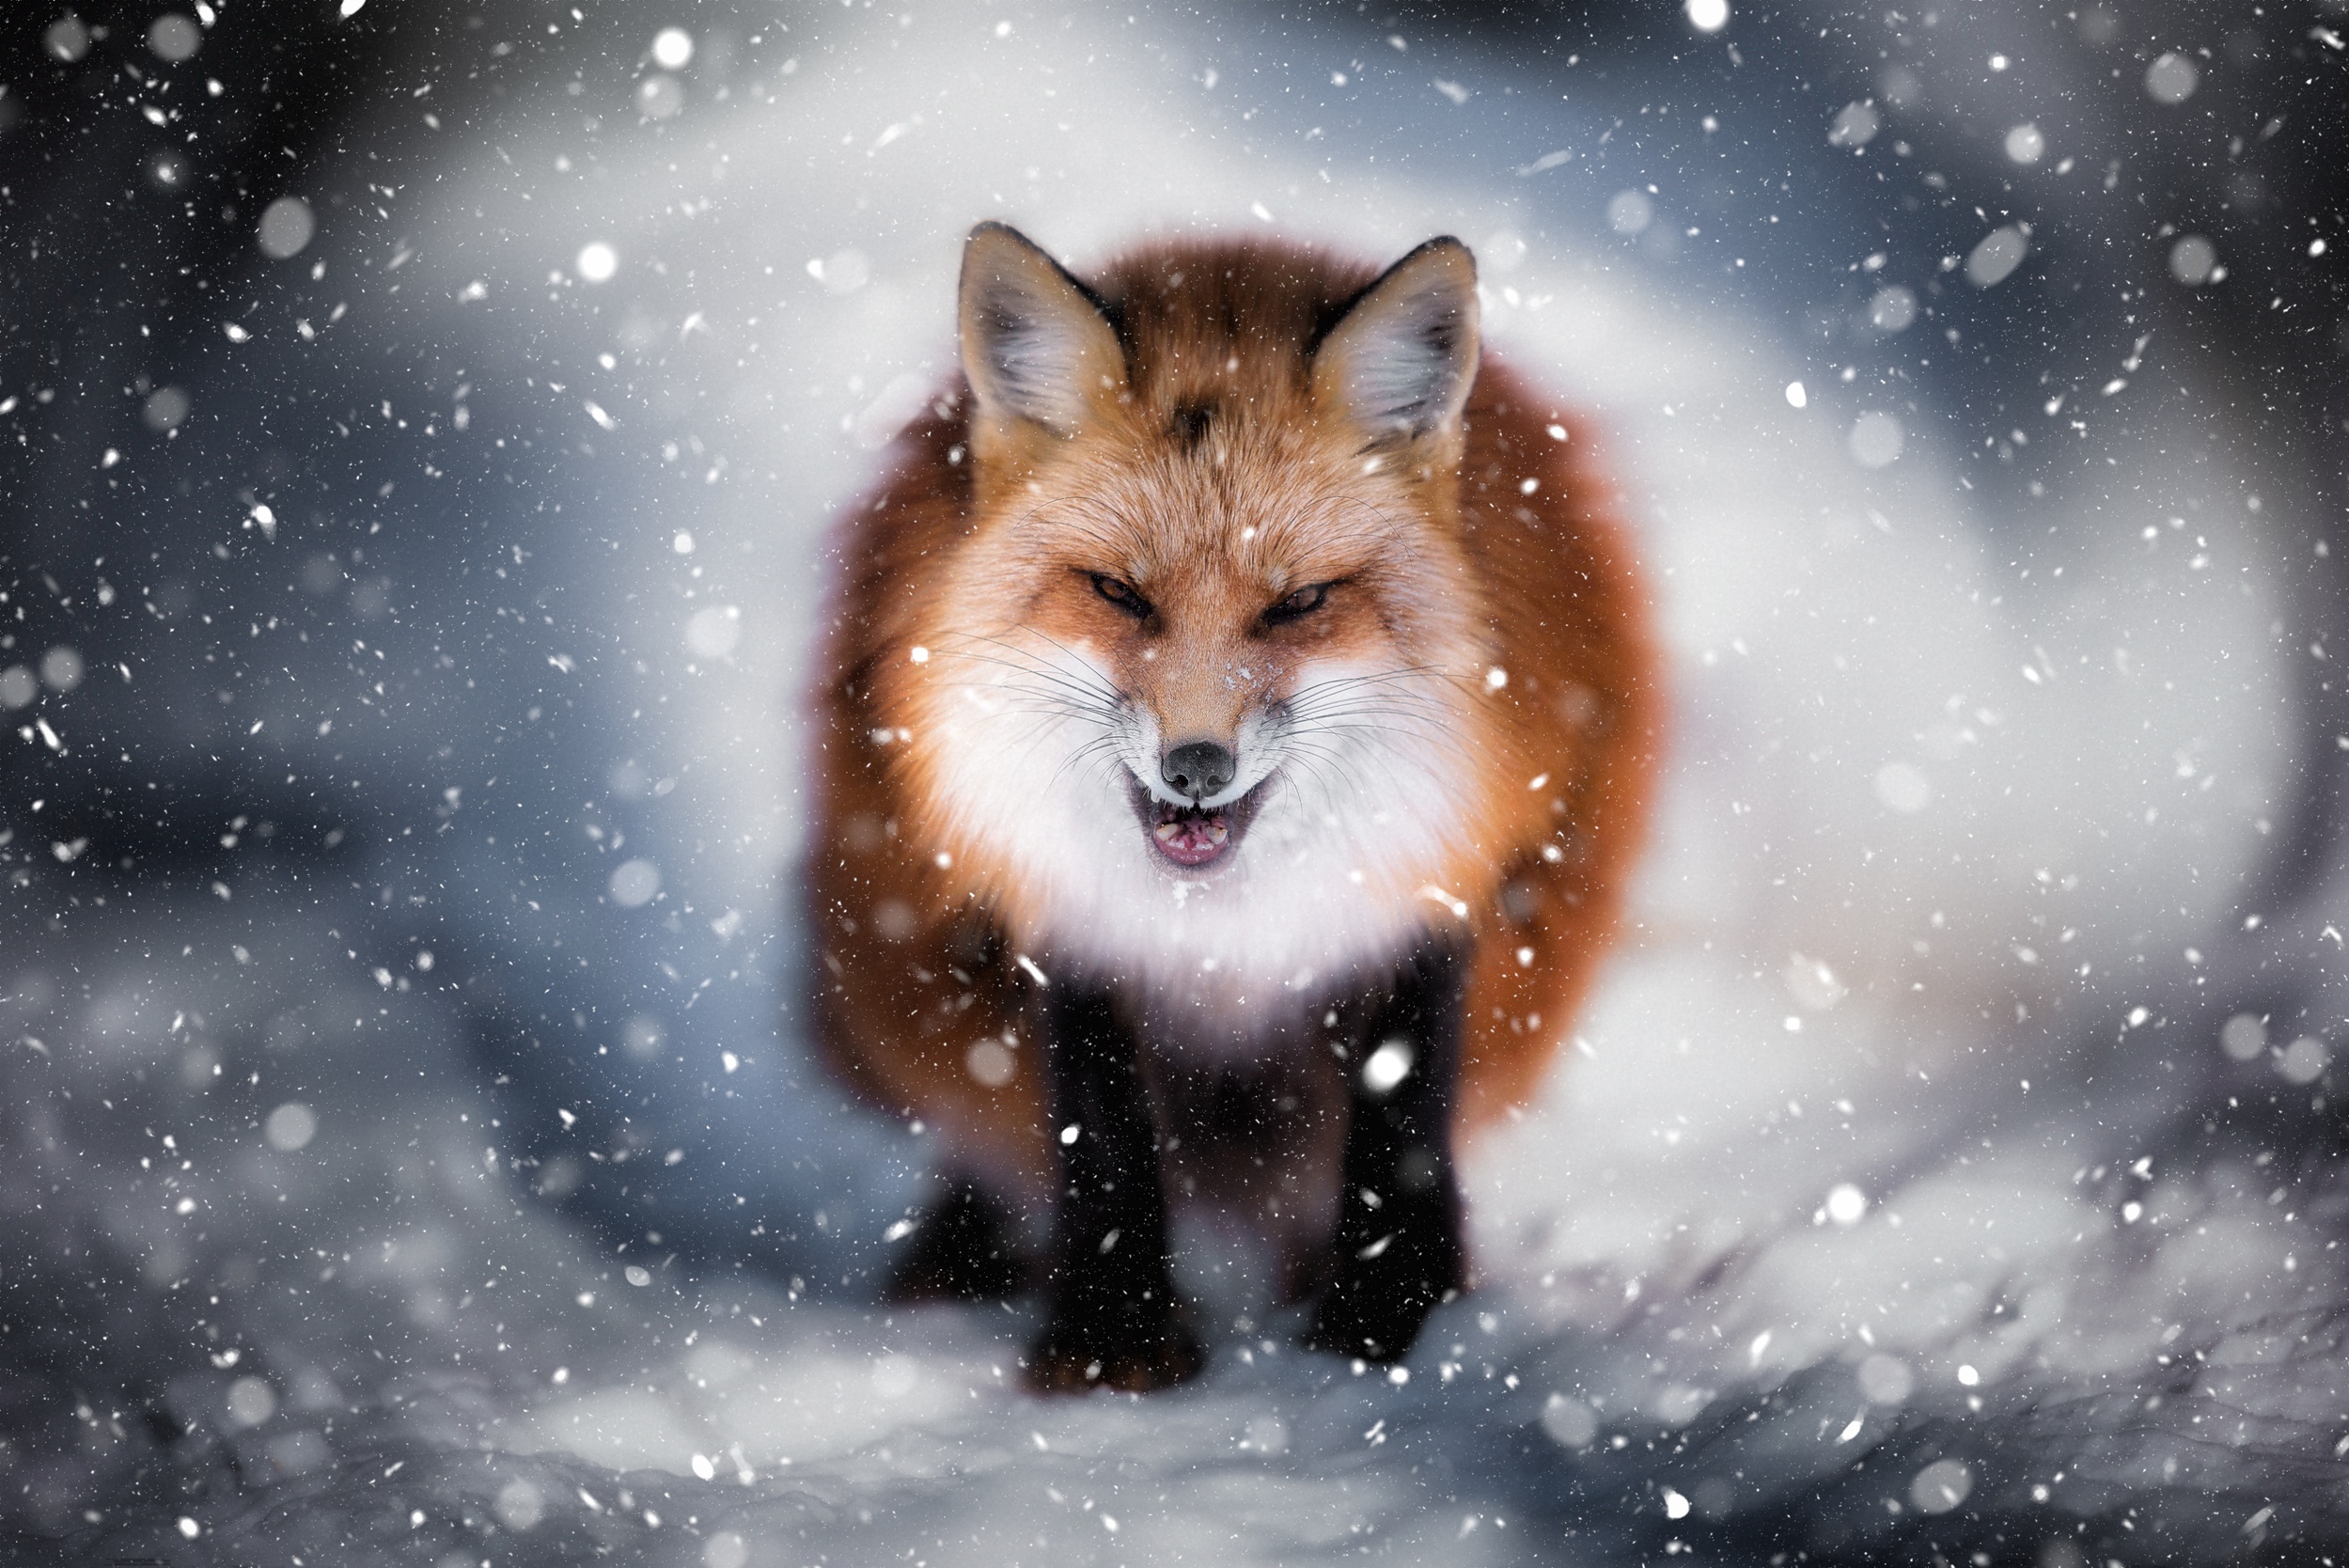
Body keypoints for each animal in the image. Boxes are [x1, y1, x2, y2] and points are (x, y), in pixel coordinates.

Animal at [806, 222, 1659, 1392]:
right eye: (1119, 594)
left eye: (1298, 604)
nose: (1197, 766)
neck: (1228, 930)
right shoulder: (1071, 919)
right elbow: (1104, 1134)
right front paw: (1115, 1348)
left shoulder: (1427, 885)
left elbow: (1400, 1121)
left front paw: (1390, 1329)